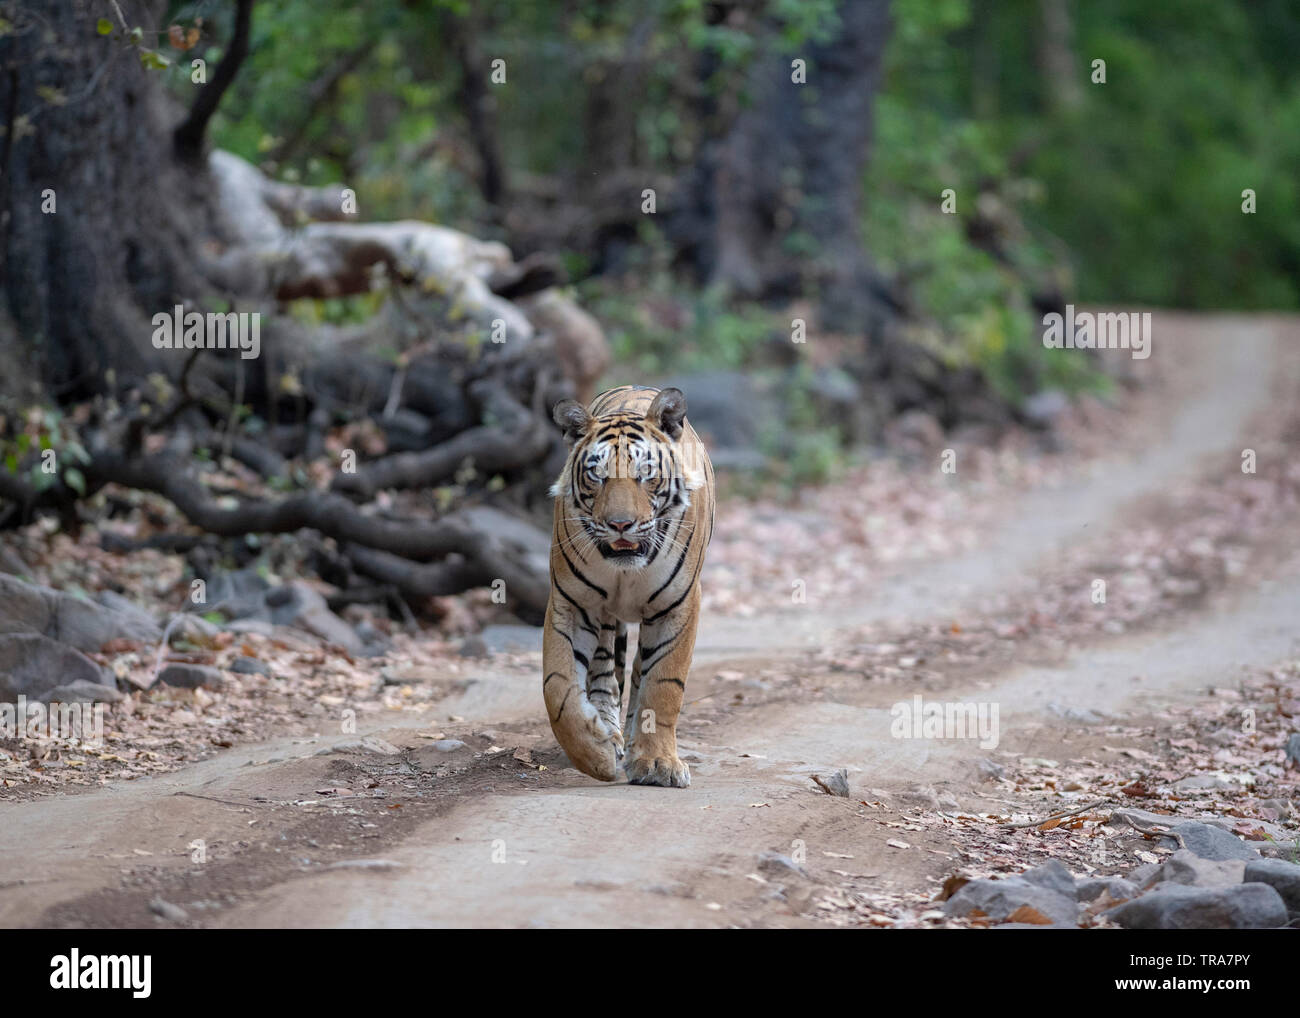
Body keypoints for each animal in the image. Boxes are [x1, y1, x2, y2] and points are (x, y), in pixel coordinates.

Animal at [543, 385, 714, 787]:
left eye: (645, 473)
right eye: (597, 474)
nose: (620, 524)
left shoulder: (678, 607)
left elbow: (663, 685)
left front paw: (657, 763)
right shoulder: (571, 603)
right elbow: (558, 687)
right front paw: (595, 756)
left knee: (639, 673)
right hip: (604, 617)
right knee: (606, 673)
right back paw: (608, 730)